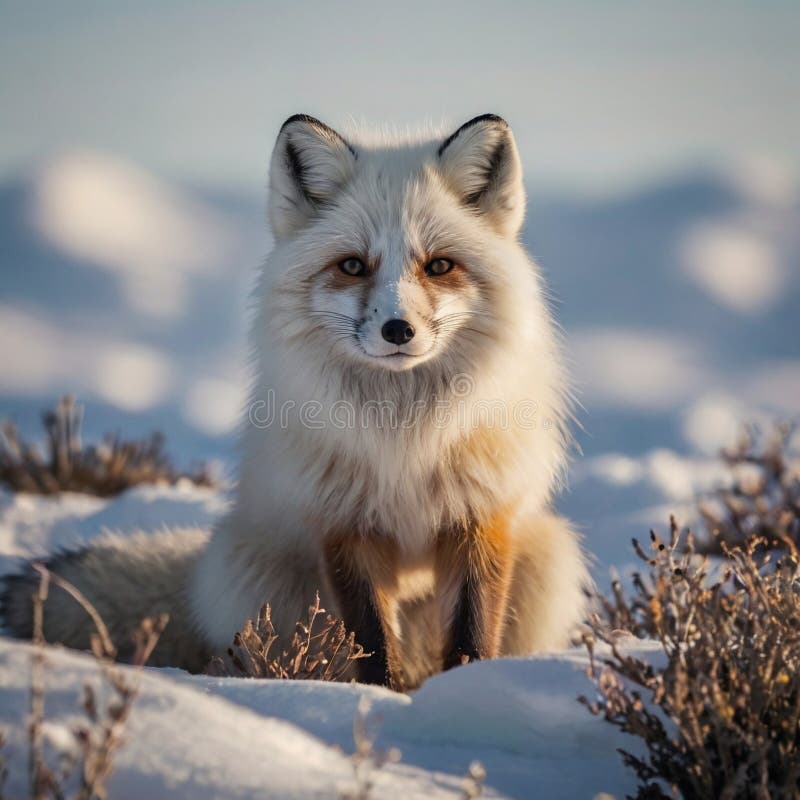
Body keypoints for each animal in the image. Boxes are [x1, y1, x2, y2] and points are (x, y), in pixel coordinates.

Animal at [2, 114, 589, 690]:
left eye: (440, 266)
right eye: (352, 266)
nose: (398, 330)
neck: (403, 439)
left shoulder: (480, 515)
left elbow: (471, 630)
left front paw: (462, 691)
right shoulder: (343, 520)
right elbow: (370, 638)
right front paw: (380, 697)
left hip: (547, 559)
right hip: (263, 584)